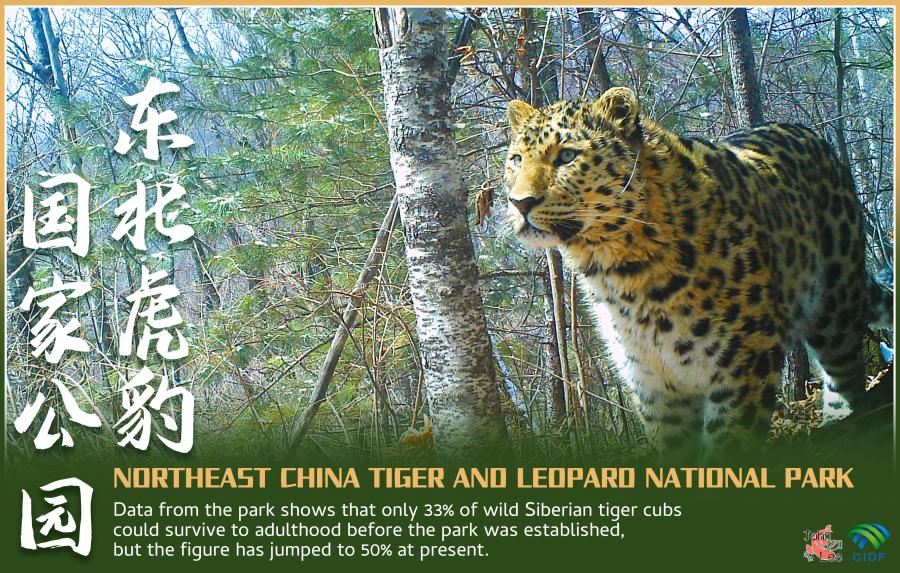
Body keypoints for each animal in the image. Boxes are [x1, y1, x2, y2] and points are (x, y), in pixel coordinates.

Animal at [503, 87, 893, 460]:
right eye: (517, 160)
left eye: (567, 156)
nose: (520, 203)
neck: (619, 271)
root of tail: (809, 134)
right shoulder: (653, 384)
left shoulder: (745, 366)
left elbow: (728, 448)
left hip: (837, 303)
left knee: (847, 376)